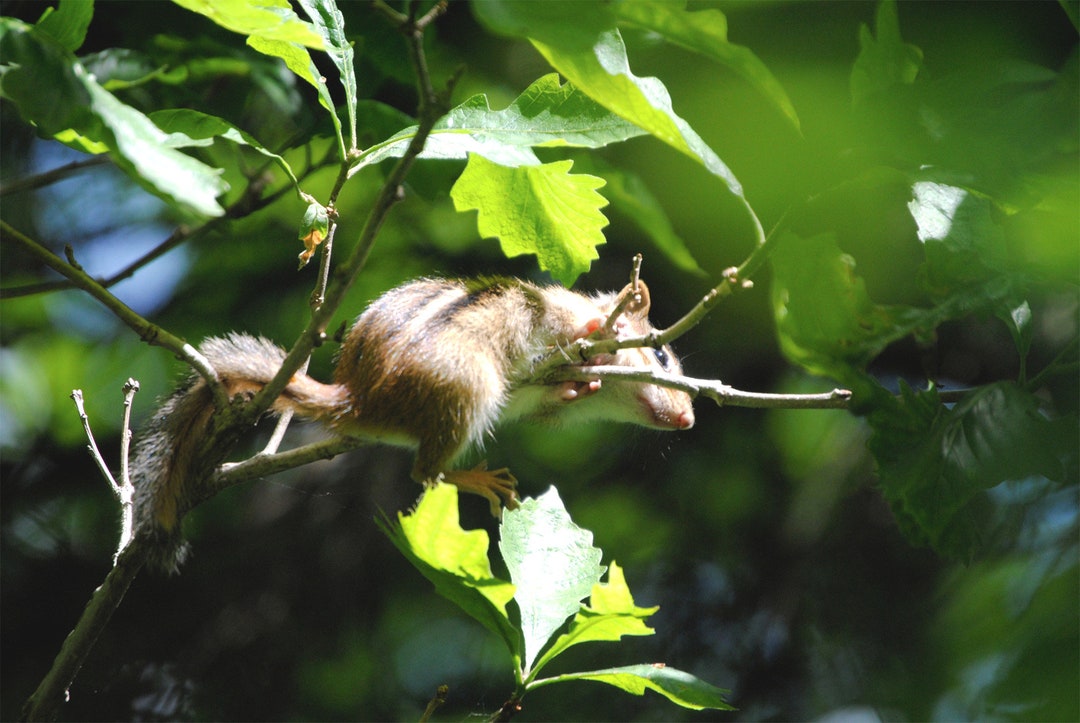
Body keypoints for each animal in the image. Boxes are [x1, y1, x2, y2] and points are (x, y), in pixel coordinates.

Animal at [131, 276, 694, 570]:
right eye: (660, 355)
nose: (689, 417)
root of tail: (361, 400)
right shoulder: (554, 314)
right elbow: (582, 325)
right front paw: (598, 335)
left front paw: (581, 384)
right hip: (469, 387)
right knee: (425, 473)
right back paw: (478, 478)